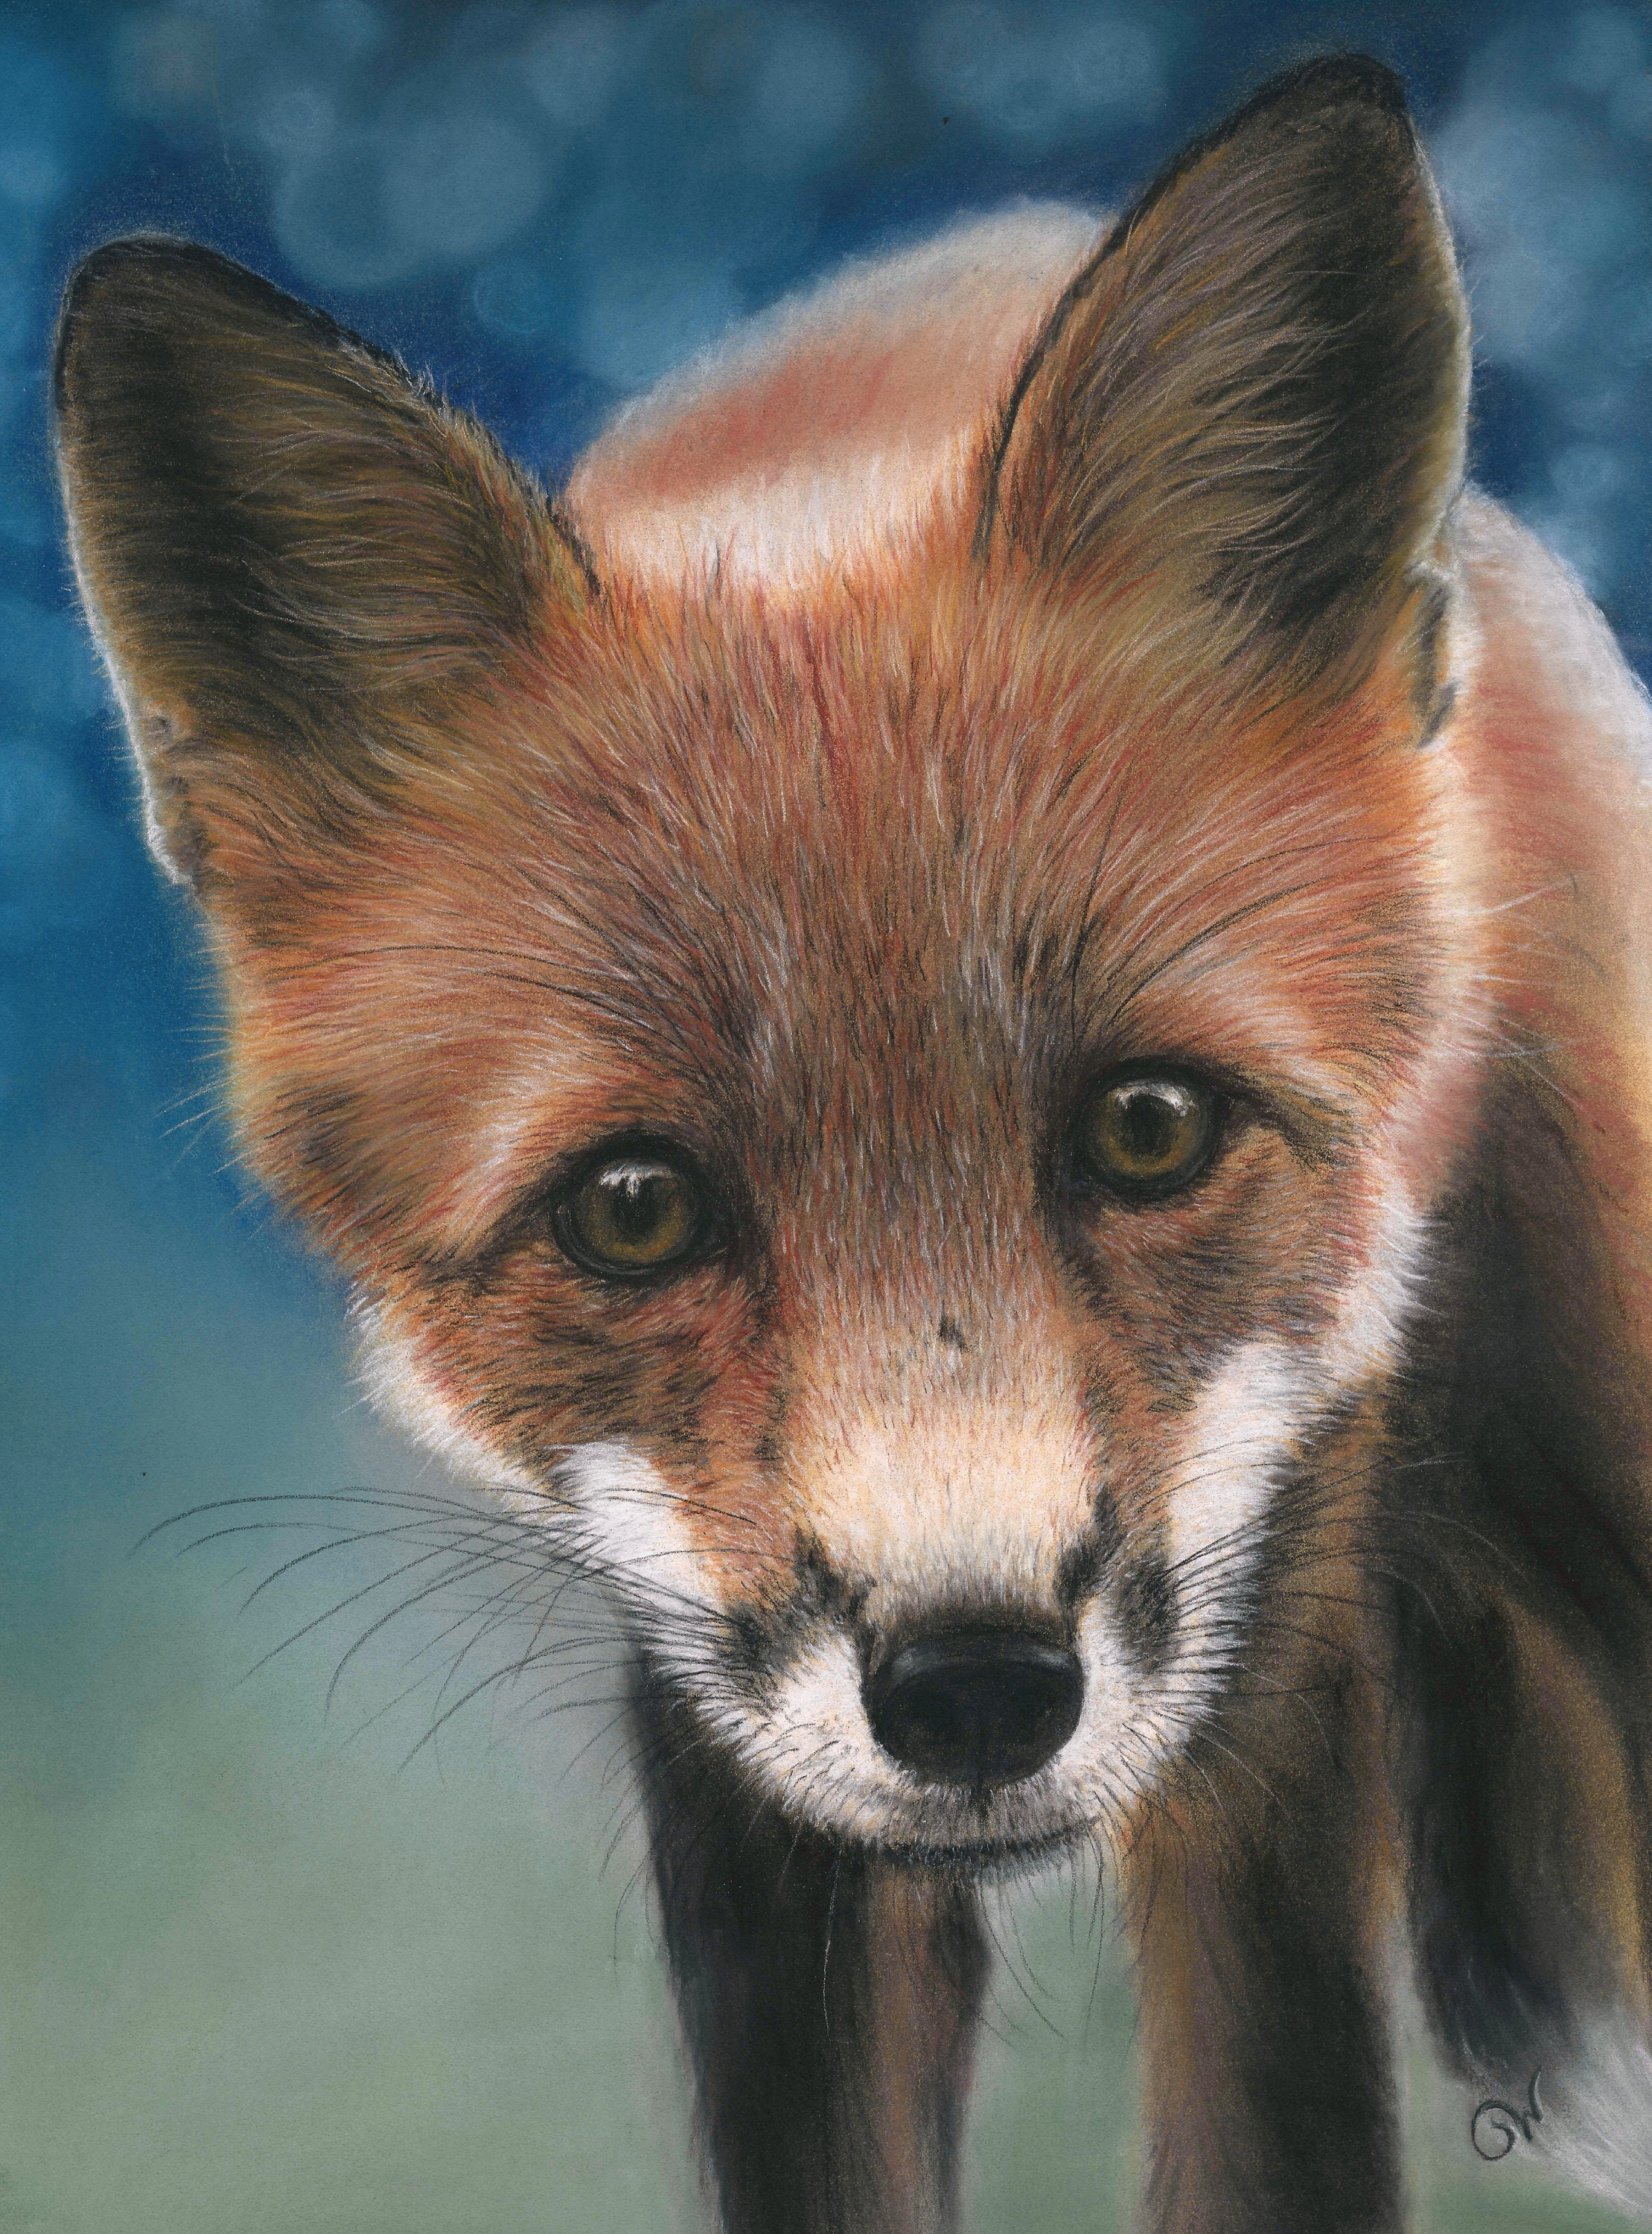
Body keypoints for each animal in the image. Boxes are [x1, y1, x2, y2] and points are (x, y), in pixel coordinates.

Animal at [51, 52, 1652, 2234]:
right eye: (636, 1210)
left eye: (1149, 1128)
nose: (976, 1685)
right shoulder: (725, 1722)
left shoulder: (1273, 1621)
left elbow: (1280, 2116)